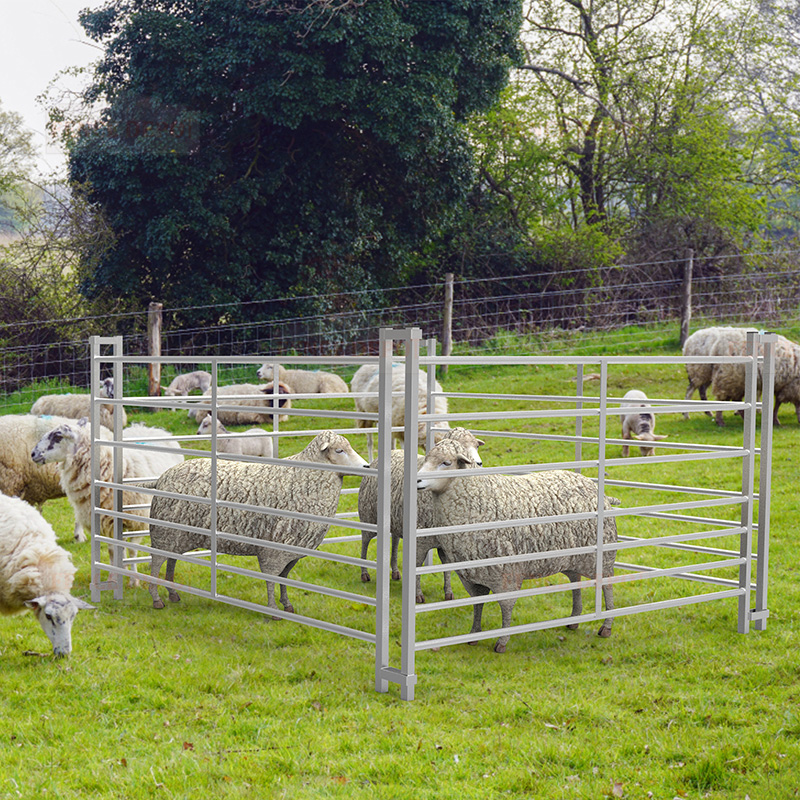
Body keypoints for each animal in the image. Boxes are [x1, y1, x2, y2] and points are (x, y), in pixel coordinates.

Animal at [31, 419, 185, 581]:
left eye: (58, 436)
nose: (32, 454)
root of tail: (149, 428)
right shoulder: (108, 522)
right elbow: (113, 551)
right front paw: (113, 577)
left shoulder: (137, 520)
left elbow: (132, 551)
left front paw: (134, 580)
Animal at [145, 430, 367, 615]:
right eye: (339, 450)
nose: (366, 467)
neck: (303, 477)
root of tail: (162, 477)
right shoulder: (273, 549)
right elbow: (271, 578)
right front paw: (273, 609)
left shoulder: (292, 550)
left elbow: (283, 578)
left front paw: (287, 605)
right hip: (164, 533)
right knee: (156, 563)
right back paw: (157, 599)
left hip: (177, 535)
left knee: (171, 561)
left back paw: (173, 593)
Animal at [357, 428, 485, 602]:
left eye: (476, 446)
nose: (478, 463)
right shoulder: (420, 539)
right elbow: (416, 565)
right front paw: (417, 595)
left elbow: (447, 566)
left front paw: (448, 592)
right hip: (368, 515)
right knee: (365, 542)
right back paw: (364, 573)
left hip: (396, 519)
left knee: (394, 541)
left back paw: (395, 571)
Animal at [417, 438, 618, 653]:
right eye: (426, 459)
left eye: (446, 462)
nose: (418, 480)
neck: (478, 498)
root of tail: (591, 485)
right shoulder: (471, 574)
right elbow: (477, 604)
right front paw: (474, 634)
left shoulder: (506, 574)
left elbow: (506, 606)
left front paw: (502, 642)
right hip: (573, 558)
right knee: (575, 581)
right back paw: (574, 619)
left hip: (601, 559)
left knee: (607, 585)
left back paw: (606, 626)